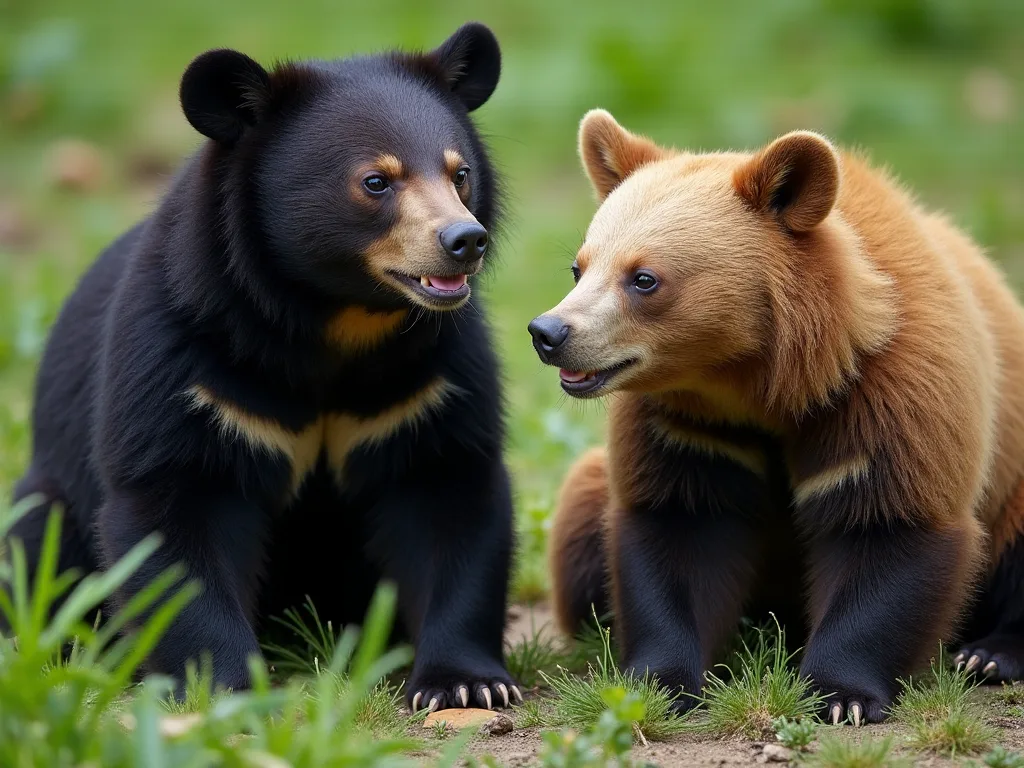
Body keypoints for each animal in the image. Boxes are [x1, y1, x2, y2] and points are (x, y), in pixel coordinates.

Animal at [6, 22, 521, 713]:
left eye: (459, 172)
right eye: (376, 182)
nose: (465, 241)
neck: (337, 323)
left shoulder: (433, 380)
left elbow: (450, 497)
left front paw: (466, 685)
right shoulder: (183, 365)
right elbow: (172, 514)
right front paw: (223, 686)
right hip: (49, 499)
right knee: (37, 545)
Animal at [530, 109, 1024, 725]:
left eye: (644, 278)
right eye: (579, 268)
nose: (549, 333)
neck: (765, 385)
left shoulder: (886, 391)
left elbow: (888, 525)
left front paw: (840, 696)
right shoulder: (688, 426)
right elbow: (679, 526)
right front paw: (659, 682)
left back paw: (989, 654)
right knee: (580, 514)